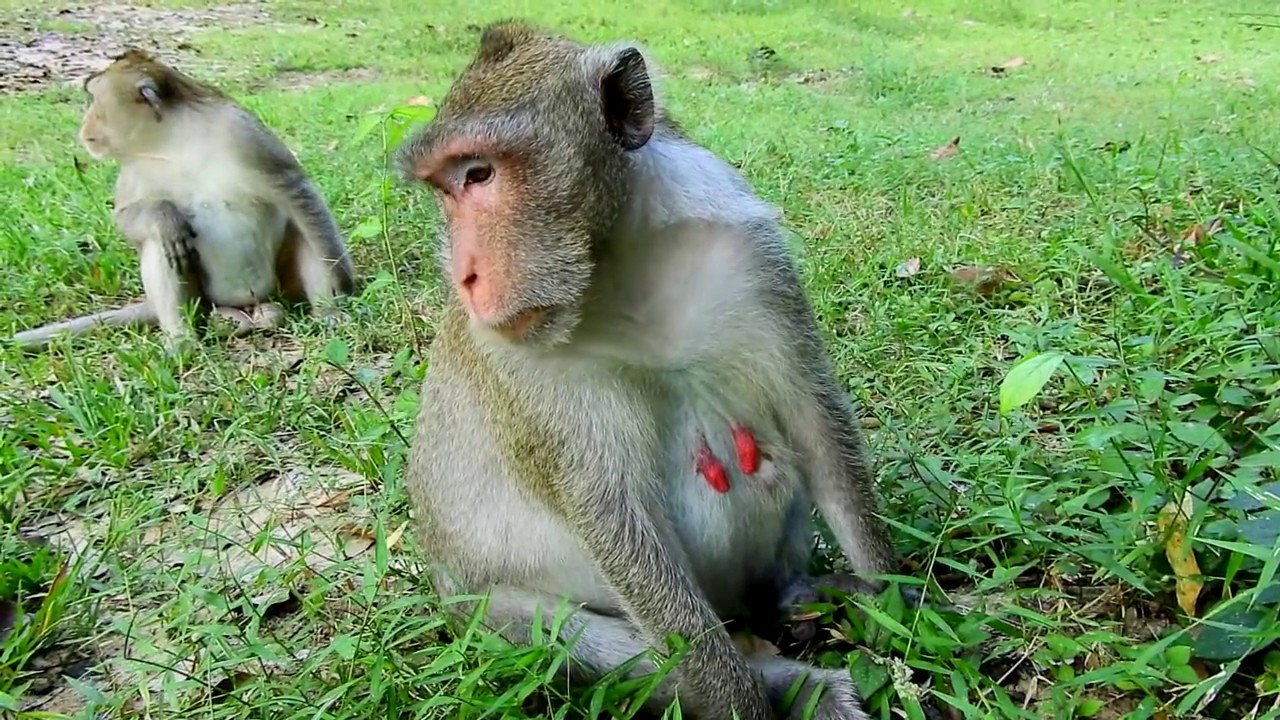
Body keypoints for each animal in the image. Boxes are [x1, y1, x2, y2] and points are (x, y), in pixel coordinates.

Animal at [7, 49, 355, 353]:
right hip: (204, 301)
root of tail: (247, 307)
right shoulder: (135, 167)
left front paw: (343, 282)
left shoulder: (243, 133)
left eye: (94, 99)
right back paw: (183, 340)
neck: (174, 141)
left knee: (306, 237)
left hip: (282, 284)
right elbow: (127, 217)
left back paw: (326, 313)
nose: (84, 125)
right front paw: (164, 215)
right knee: (161, 246)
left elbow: (298, 193)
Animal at [397, 20, 899, 720]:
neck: (614, 266)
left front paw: (906, 606)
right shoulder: (516, 360)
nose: (466, 275)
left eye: (479, 174)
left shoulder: (749, 255)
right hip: (481, 612)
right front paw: (745, 702)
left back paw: (794, 594)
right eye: (445, 189)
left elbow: (815, 420)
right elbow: (615, 520)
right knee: (563, 634)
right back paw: (793, 683)